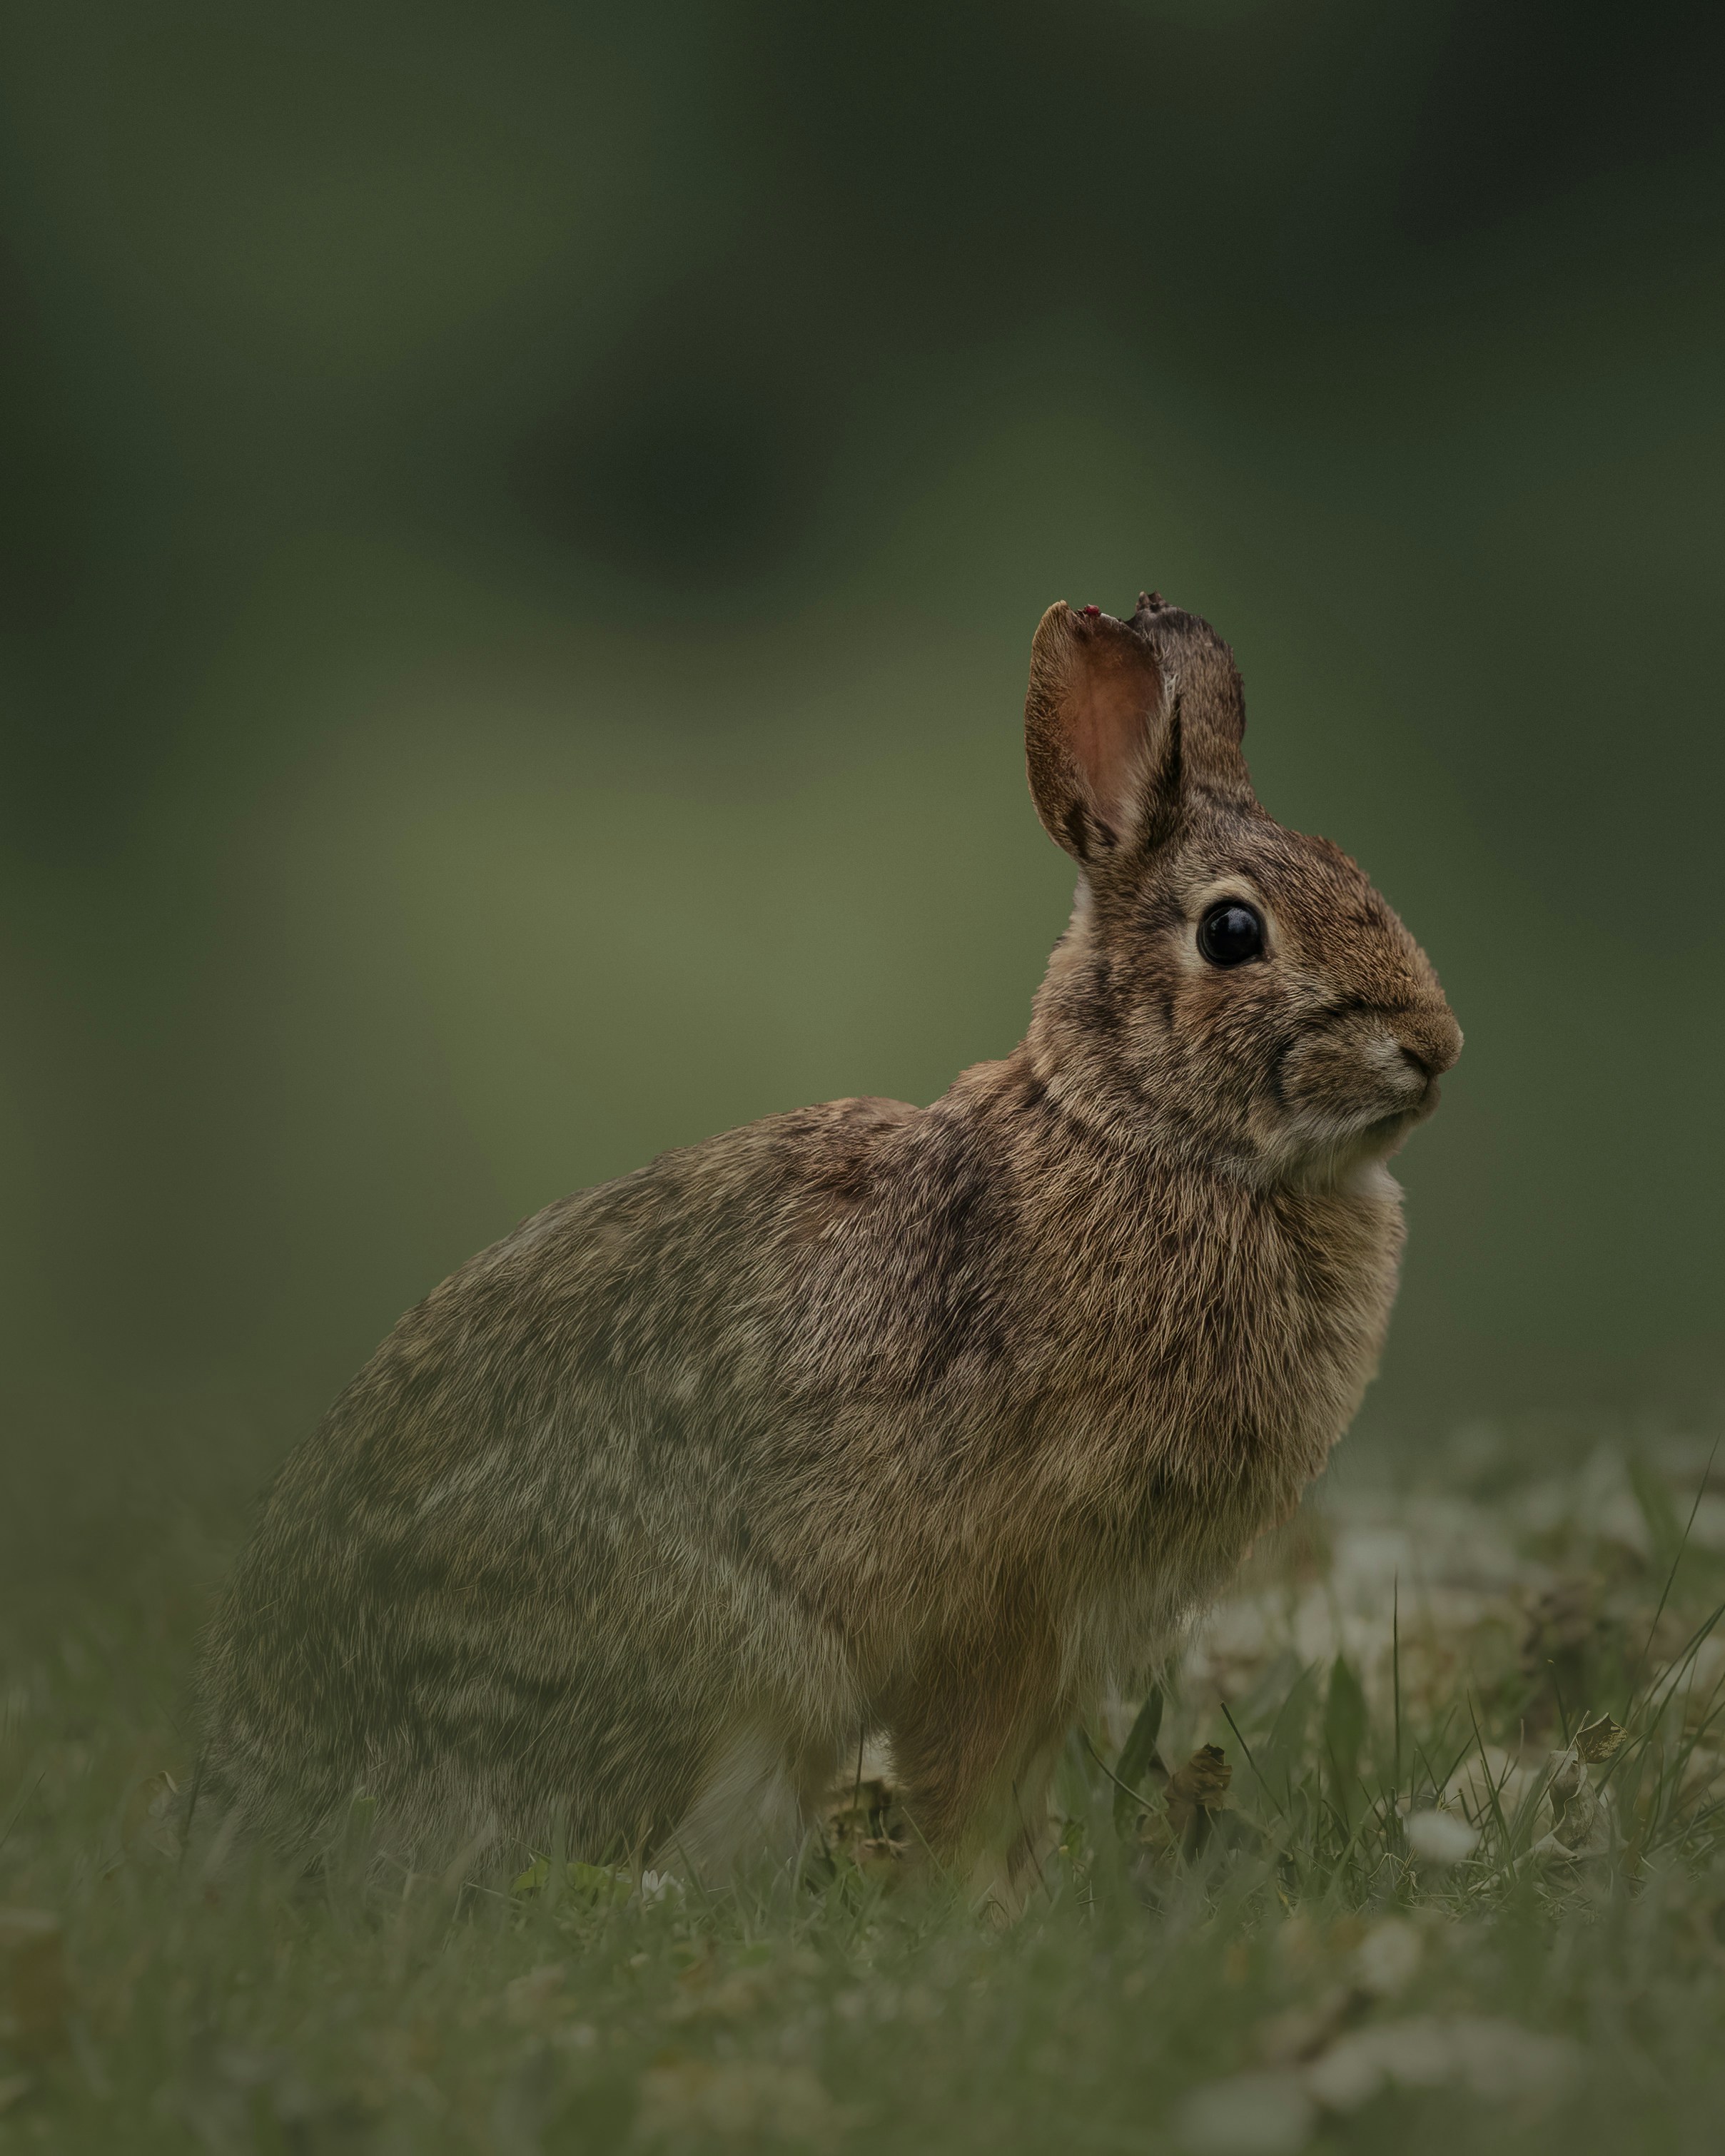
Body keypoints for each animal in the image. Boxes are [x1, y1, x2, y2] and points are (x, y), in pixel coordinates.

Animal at [195, 591, 1460, 1907]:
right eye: (1232, 931)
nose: (1435, 1045)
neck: (1146, 1131)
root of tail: (261, 1780)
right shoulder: (1005, 1601)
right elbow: (970, 1774)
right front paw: (996, 1909)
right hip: (727, 1672)